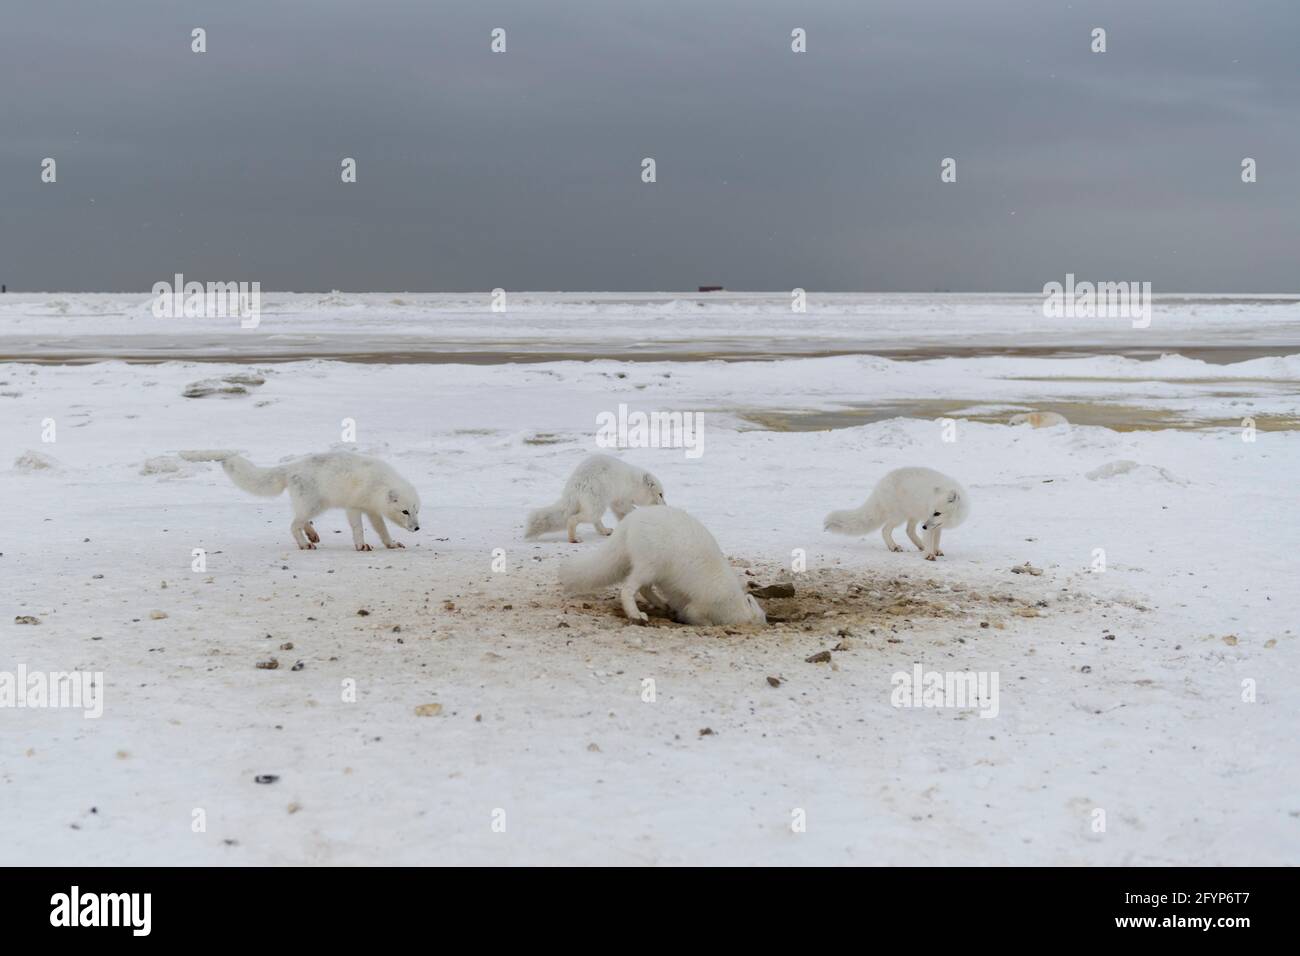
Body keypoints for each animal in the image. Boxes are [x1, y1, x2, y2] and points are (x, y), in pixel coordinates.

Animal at [180, 449, 420, 551]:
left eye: (416, 510)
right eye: (405, 511)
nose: (417, 528)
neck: (379, 484)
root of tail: (291, 468)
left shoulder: (372, 510)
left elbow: (382, 529)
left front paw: (391, 543)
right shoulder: (353, 507)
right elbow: (358, 529)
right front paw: (361, 545)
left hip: (313, 506)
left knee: (301, 520)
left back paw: (312, 535)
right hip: (315, 505)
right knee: (293, 524)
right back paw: (305, 544)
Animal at [525, 453, 666, 543]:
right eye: (660, 494)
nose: (665, 505)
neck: (635, 482)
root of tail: (575, 485)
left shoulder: (616, 499)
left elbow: (620, 512)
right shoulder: (622, 493)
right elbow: (626, 508)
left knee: (595, 518)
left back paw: (605, 531)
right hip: (596, 496)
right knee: (579, 517)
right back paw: (574, 538)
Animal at [558, 506, 766, 626]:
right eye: (762, 618)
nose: (766, 624)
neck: (736, 606)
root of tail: (631, 519)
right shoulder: (698, 608)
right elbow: (698, 618)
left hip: (654, 570)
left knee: (644, 588)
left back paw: (662, 605)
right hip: (650, 565)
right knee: (628, 589)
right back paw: (636, 615)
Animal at [824, 466, 969, 560]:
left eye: (937, 513)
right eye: (931, 512)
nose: (924, 527)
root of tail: (881, 484)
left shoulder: (937, 525)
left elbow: (936, 539)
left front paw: (936, 550)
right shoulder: (928, 522)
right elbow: (930, 540)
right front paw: (929, 554)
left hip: (912, 515)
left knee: (909, 531)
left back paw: (920, 545)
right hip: (899, 517)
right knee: (885, 530)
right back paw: (894, 547)